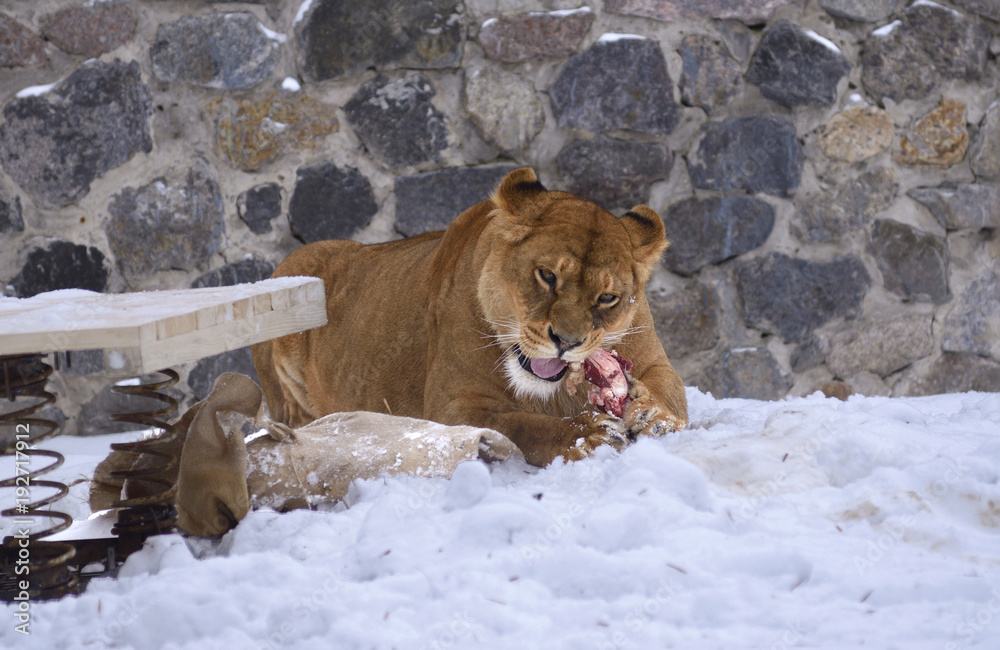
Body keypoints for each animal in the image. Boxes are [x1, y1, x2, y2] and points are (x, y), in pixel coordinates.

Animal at [251, 168, 687, 466]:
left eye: (608, 298)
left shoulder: (653, 359)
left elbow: (673, 390)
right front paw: (587, 435)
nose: (567, 342)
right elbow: (520, 424)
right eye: (547, 276)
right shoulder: (451, 410)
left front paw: (655, 416)